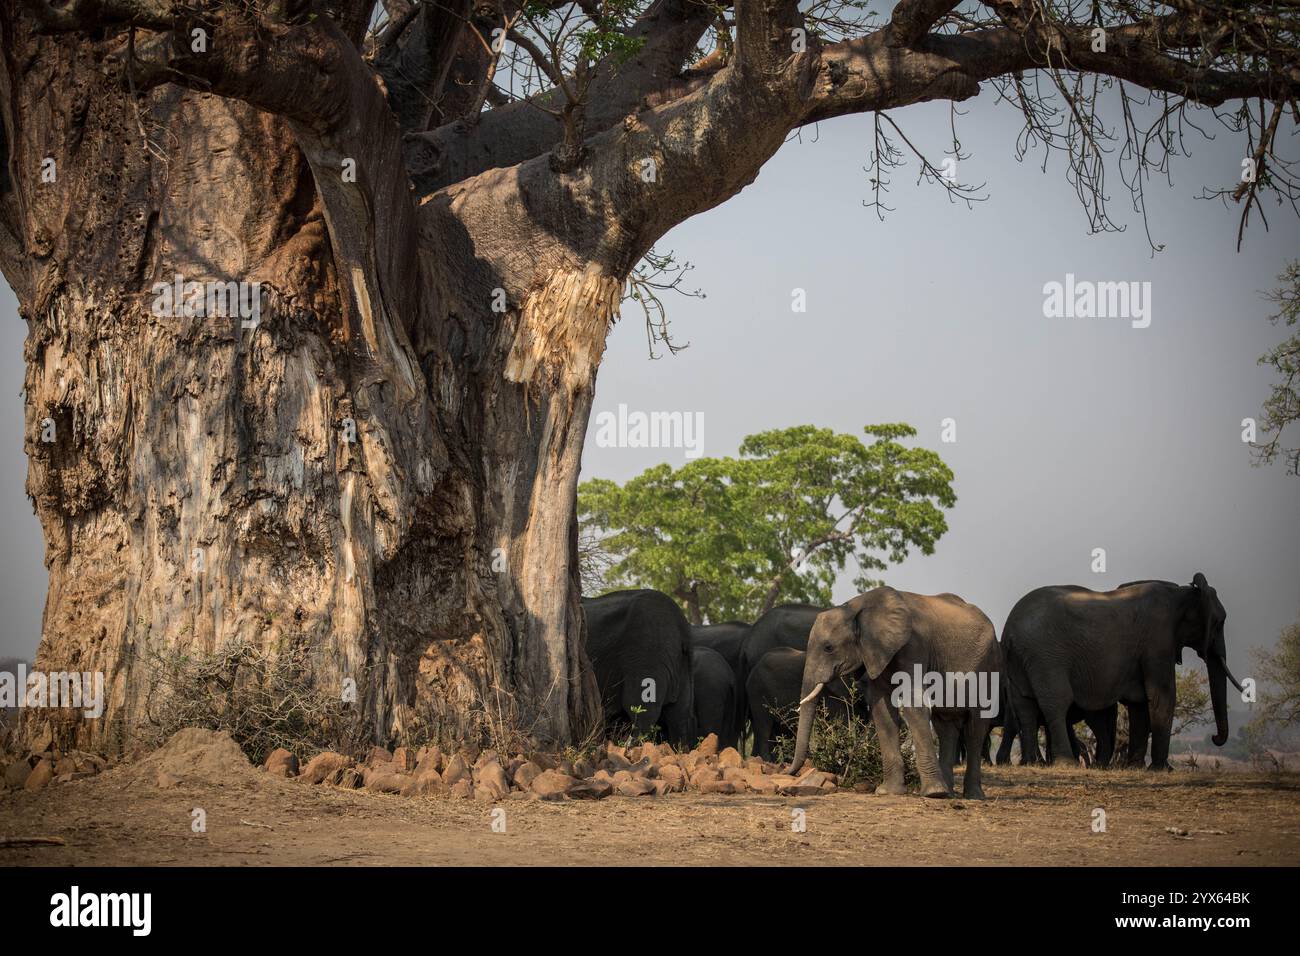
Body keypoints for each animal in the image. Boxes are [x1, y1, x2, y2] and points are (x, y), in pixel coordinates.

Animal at [583, 589, 697, 748]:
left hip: (647, 653)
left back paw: (628, 749)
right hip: (681, 666)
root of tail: (683, 629)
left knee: (643, 712)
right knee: (679, 718)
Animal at [788, 588, 1002, 799]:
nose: (791, 772)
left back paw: (971, 796)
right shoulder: (875, 653)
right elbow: (881, 708)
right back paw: (948, 793)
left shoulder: (914, 645)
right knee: (945, 727)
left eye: (828, 648)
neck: (856, 606)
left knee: (976, 727)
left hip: (988, 665)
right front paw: (888, 791)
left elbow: (914, 702)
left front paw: (932, 793)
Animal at [1002, 573, 1241, 771]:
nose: (1214, 737)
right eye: (1219, 623)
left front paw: (1135, 767)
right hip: (1046, 656)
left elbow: (1139, 702)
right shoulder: (1158, 640)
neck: (1183, 592)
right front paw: (1162, 770)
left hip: (1021, 661)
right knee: (1056, 702)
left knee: (1025, 705)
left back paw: (1032, 763)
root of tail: (1008, 630)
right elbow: (1161, 695)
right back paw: (1066, 764)